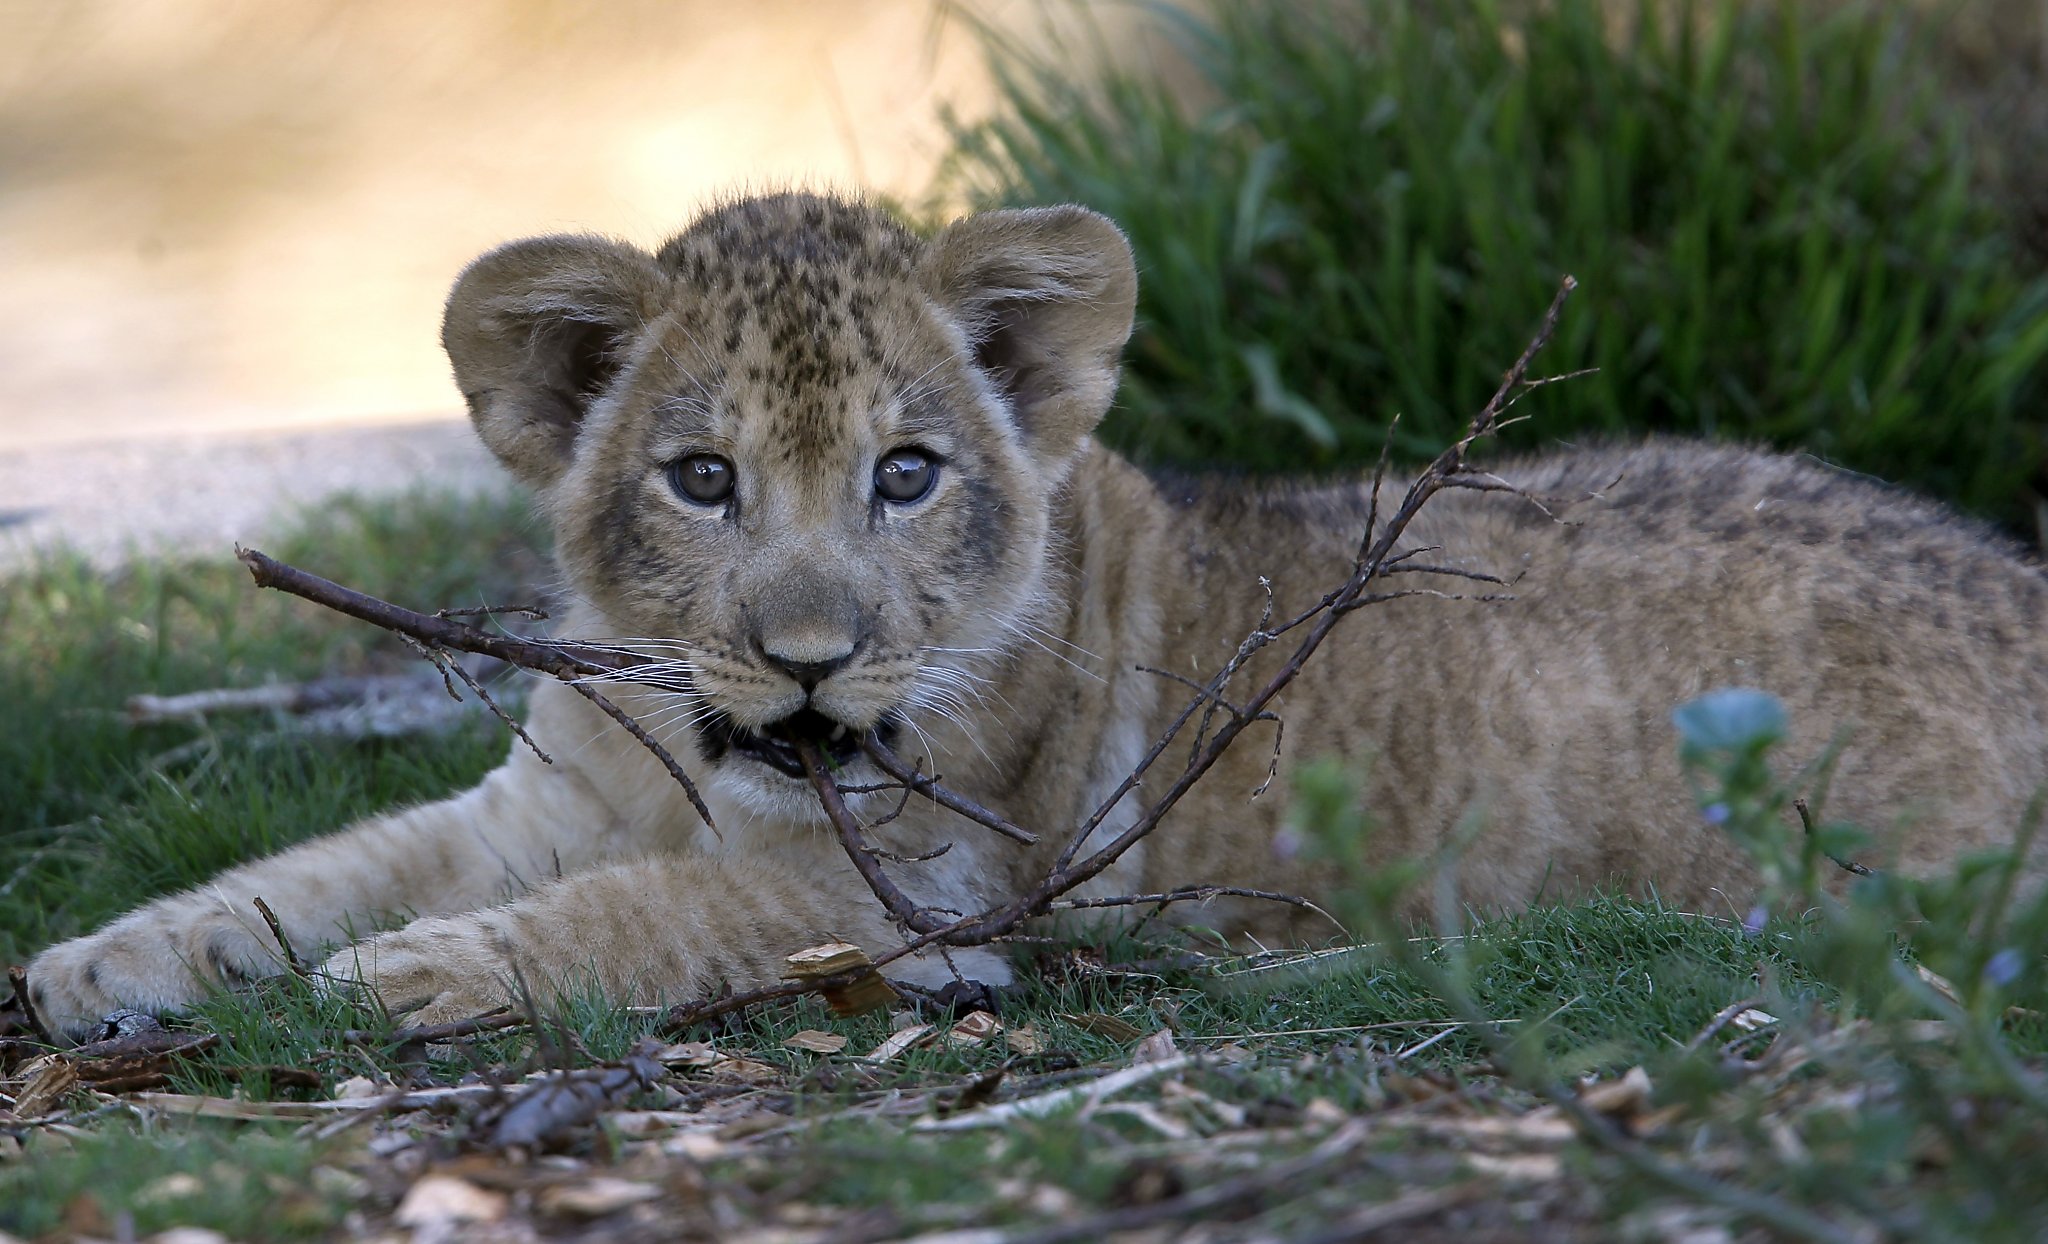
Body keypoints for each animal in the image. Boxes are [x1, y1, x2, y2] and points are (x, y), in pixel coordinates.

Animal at [25, 192, 2048, 1036]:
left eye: (909, 473)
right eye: (703, 480)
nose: (811, 663)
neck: (685, 743)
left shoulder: (923, 892)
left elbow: (637, 911)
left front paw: (413, 978)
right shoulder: (534, 799)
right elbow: (325, 861)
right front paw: (102, 963)